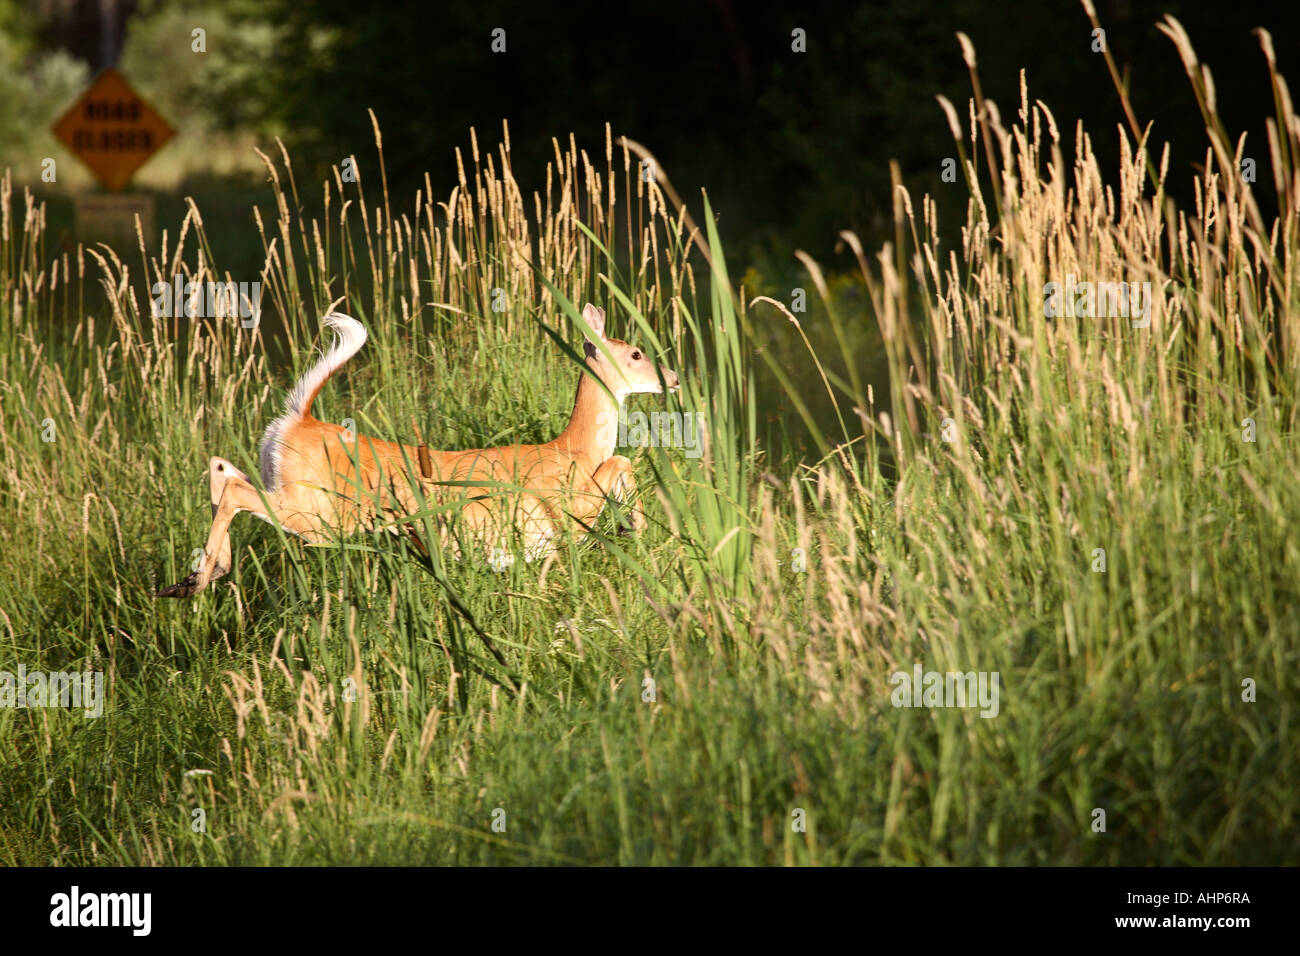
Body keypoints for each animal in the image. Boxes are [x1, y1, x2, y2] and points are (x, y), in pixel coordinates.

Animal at [156, 303, 679, 598]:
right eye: (635, 353)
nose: (672, 377)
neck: (574, 448)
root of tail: (300, 419)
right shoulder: (572, 503)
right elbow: (620, 462)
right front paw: (642, 528)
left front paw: (640, 530)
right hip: (321, 513)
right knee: (238, 493)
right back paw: (196, 580)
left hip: (290, 488)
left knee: (223, 469)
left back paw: (200, 574)